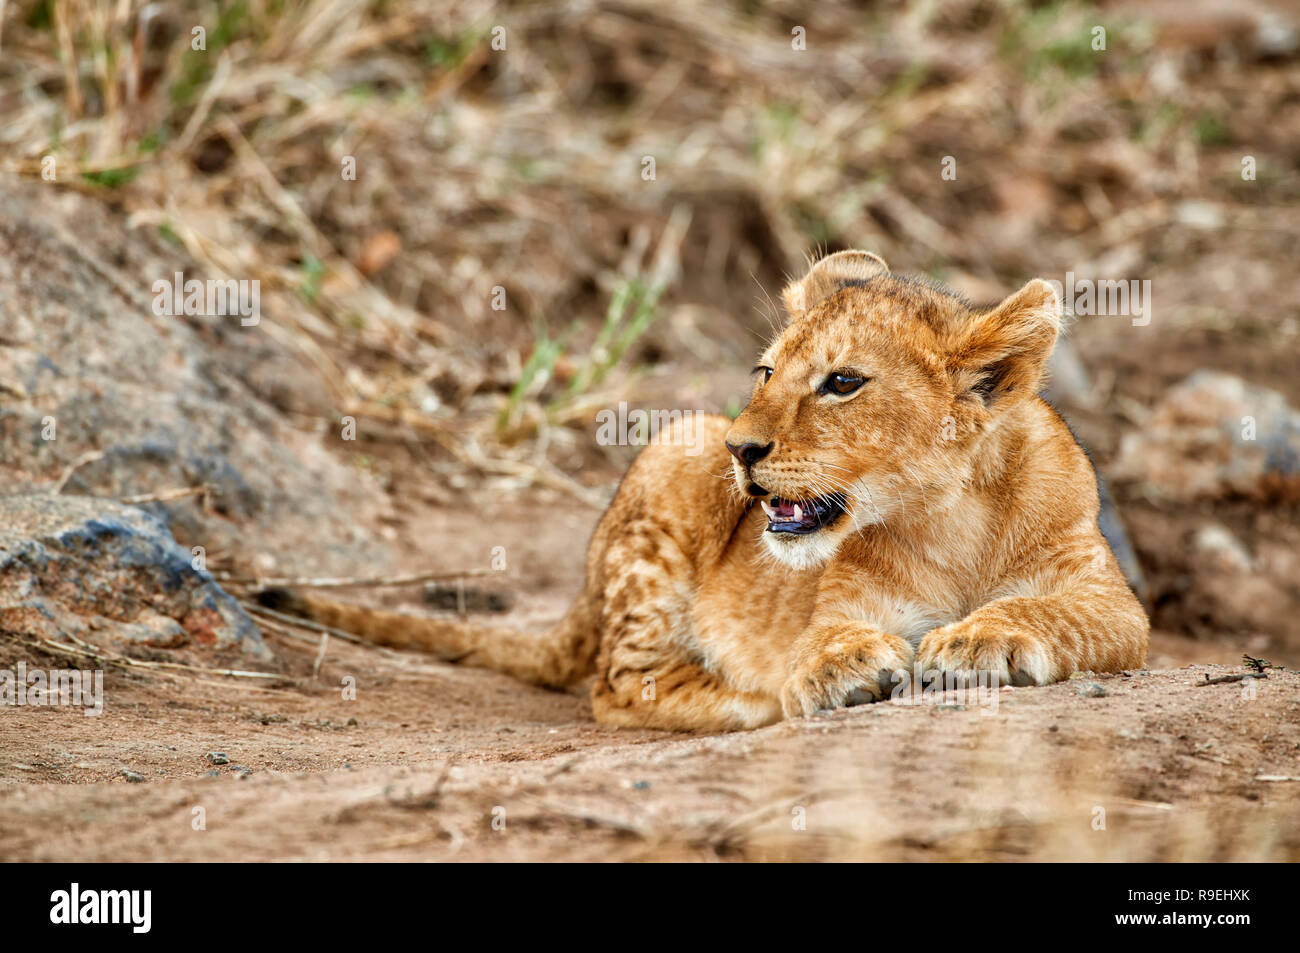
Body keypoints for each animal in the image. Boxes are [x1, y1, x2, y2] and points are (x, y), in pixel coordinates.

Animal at [260, 251, 1149, 731]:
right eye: (765, 371)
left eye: (843, 382)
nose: (742, 448)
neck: (946, 517)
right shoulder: (842, 602)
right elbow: (824, 636)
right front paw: (837, 670)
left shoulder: (1114, 603)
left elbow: (1053, 611)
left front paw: (978, 638)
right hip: (674, 448)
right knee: (620, 684)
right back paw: (758, 694)